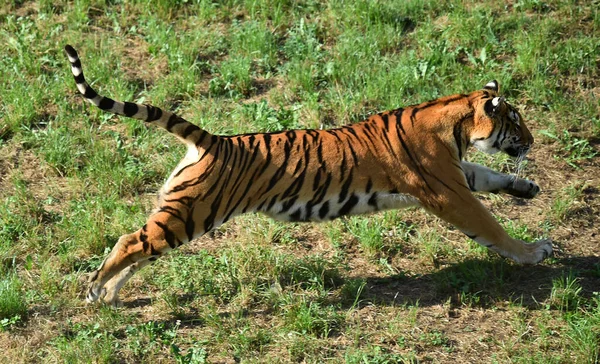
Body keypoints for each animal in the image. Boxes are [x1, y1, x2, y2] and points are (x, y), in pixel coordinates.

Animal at [63, 45, 552, 308]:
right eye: (516, 121)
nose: (531, 140)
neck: (456, 125)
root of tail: (213, 141)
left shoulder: (456, 173)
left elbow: (488, 175)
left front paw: (526, 188)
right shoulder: (448, 191)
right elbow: (490, 225)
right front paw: (533, 252)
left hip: (177, 214)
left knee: (140, 248)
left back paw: (110, 295)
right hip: (190, 215)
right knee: (128, 243)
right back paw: (93, 290)